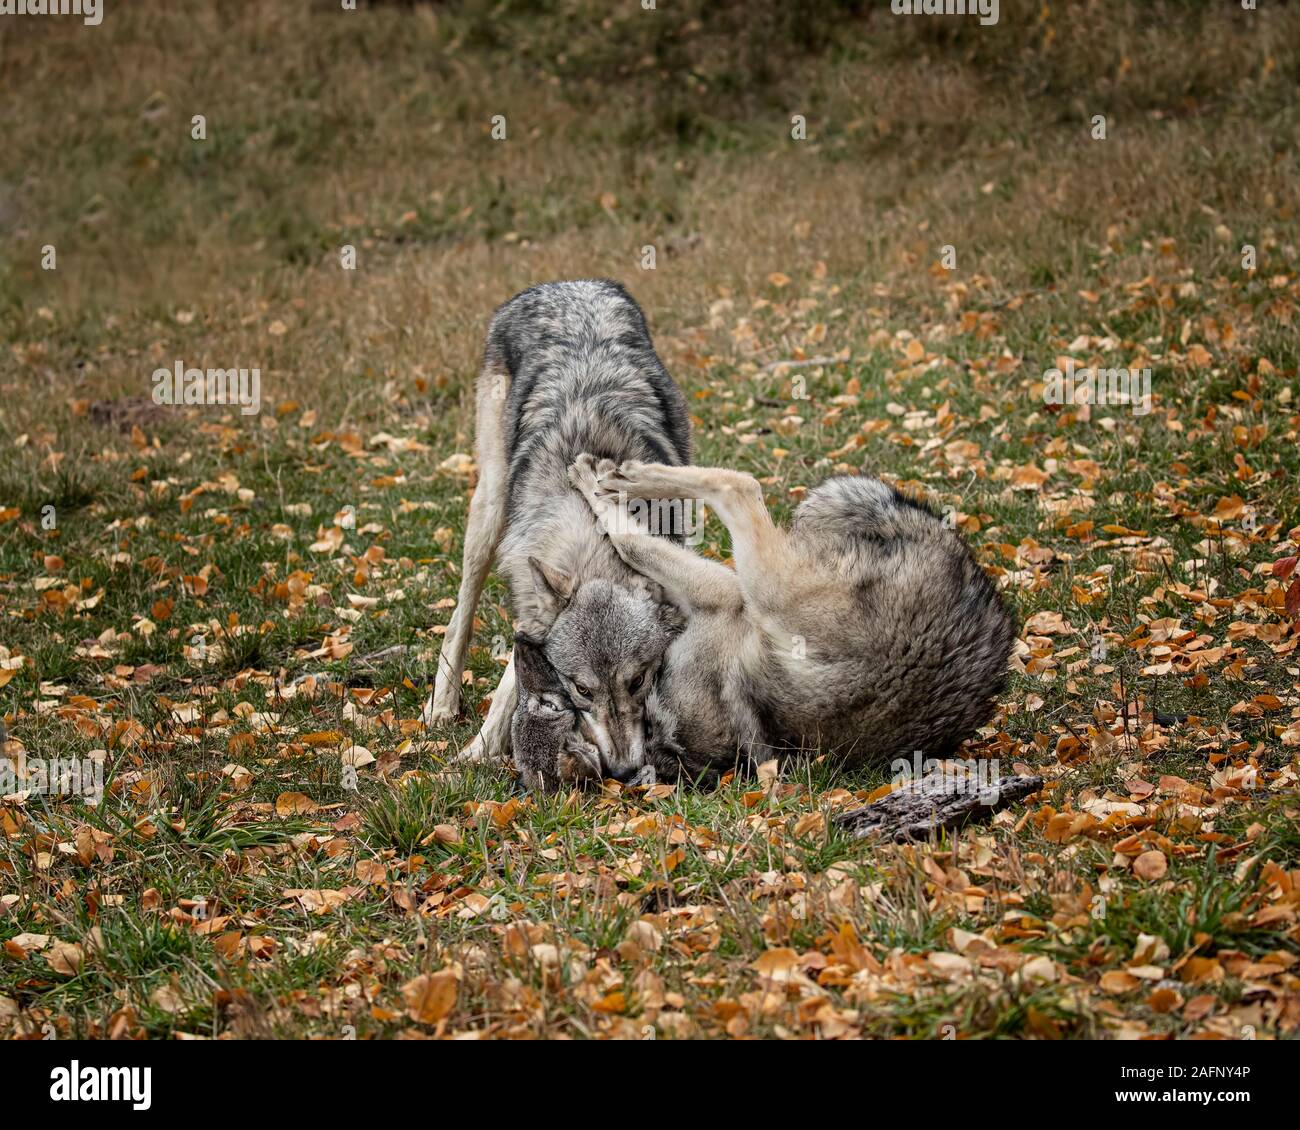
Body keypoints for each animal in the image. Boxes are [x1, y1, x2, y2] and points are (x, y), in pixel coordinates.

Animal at [423, 280, 692, 784]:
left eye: (638, 680)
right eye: (581, 689)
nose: (623, 770)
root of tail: (567, 284)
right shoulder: (532, 597)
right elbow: (510, 681)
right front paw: (477, 752)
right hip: (489, 511)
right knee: (461, 611)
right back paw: (442, 704)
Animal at [566, 455, 1015, 779]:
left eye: (640, 686)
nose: (622, 772)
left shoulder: (725, 597)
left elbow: (631, 543)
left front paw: (598, 491)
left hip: (768, 584)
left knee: (740, 486)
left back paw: (624, 478)